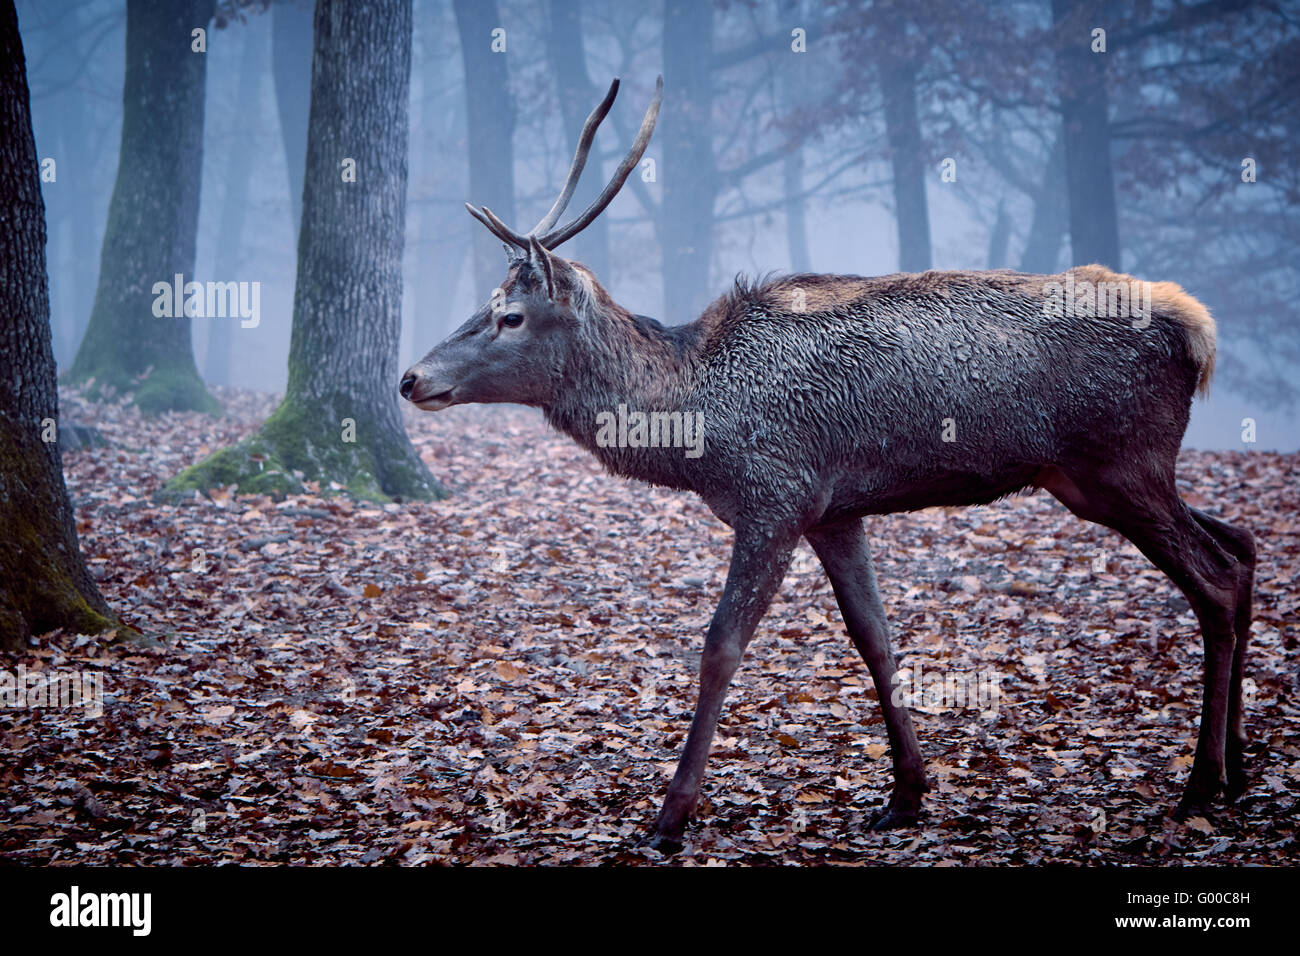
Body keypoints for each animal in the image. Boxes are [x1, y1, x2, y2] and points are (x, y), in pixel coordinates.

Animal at [400, 76, 1256, 854]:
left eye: (510, 316)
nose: (411, 377)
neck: (696, 417)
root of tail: (1200, 332)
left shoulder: (774, 498)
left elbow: (720, 648)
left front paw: (670, 818)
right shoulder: (836, 511)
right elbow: (875, 636)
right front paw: (906, 794)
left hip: (1122, 462)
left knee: (1213, 579)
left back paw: (1200, 783)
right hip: (1096, 477)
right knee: (1243, 546)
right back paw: (1239, 772)